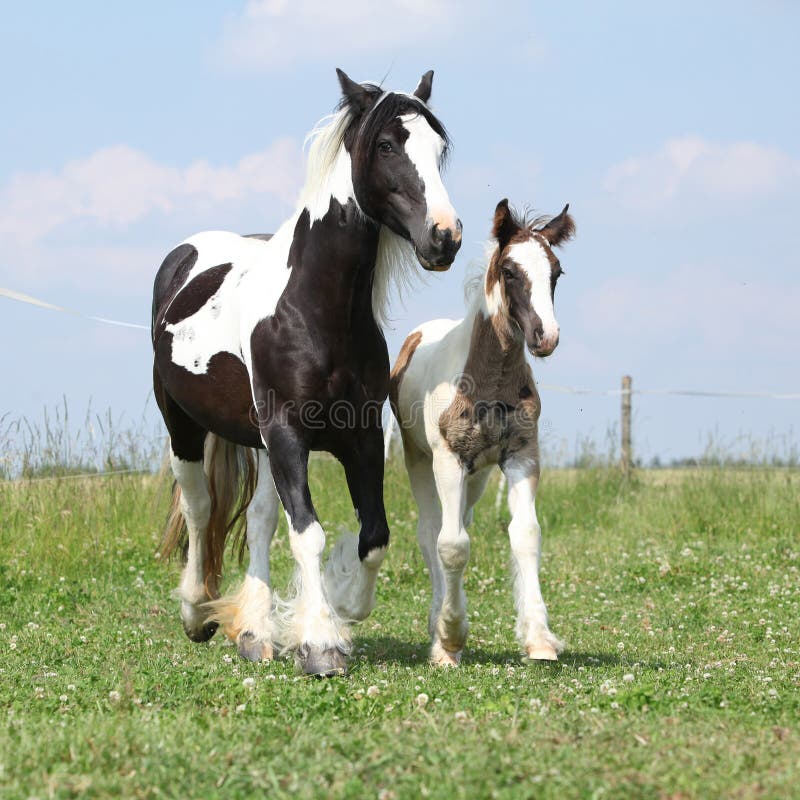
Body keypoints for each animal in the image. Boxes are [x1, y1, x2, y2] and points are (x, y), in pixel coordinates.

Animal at [151, 69, 461, 676]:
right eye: (386, 145)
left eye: (440, 148)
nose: (445, 236)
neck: (314, 310)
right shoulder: (288, 434)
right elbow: (309, 535)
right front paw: (319, 643)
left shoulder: (361, 437)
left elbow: (373, 537)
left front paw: (338, 604)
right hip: (185, 427)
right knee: (200, 509)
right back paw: (197, 610)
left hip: (261, 446)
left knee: (260, 520)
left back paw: (253, 632)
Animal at [389, 199, 574, 666]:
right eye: (509, 270)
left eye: (556, 271)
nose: (546, 337)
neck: (490, 382)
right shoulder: (448, 458)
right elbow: (452, 545)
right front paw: (450, 638)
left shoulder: (521, 455)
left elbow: (526, 535)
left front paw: (539, 638)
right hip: (420, 461)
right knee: (432, 533)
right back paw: (438, 625)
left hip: (479, 474)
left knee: (462, 520)